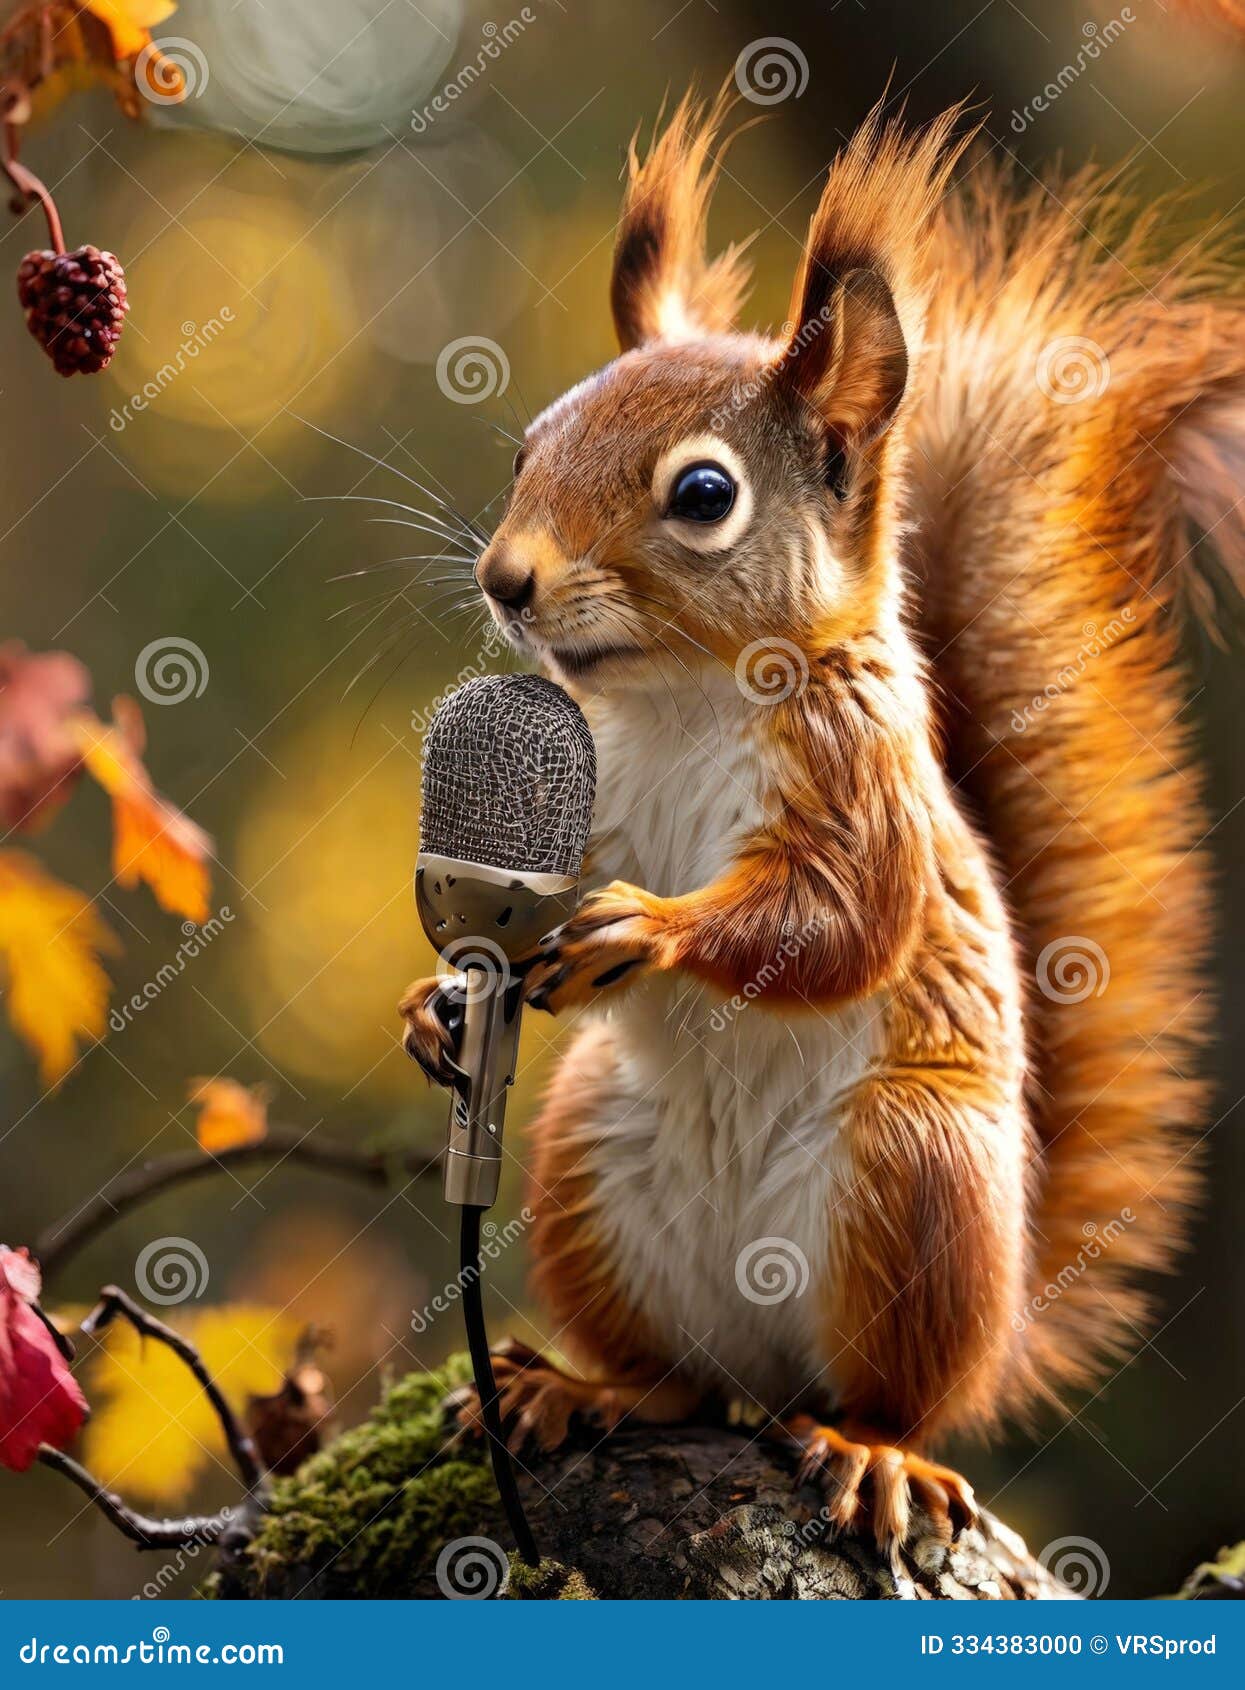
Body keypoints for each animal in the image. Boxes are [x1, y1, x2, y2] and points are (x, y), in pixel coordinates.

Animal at [400, 88, 1245, 1553]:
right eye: (526, 446)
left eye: (703, 495)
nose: (508, 579)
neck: (682, 694)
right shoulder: (575, 794)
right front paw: (437, 1005)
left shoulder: (862, 781)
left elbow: (841, 918)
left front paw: (651, 932)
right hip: (586, 1148)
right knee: (683, 1382)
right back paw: (585, 1388)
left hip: (913, 1174)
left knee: (882, 1394)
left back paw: (871, 1450)